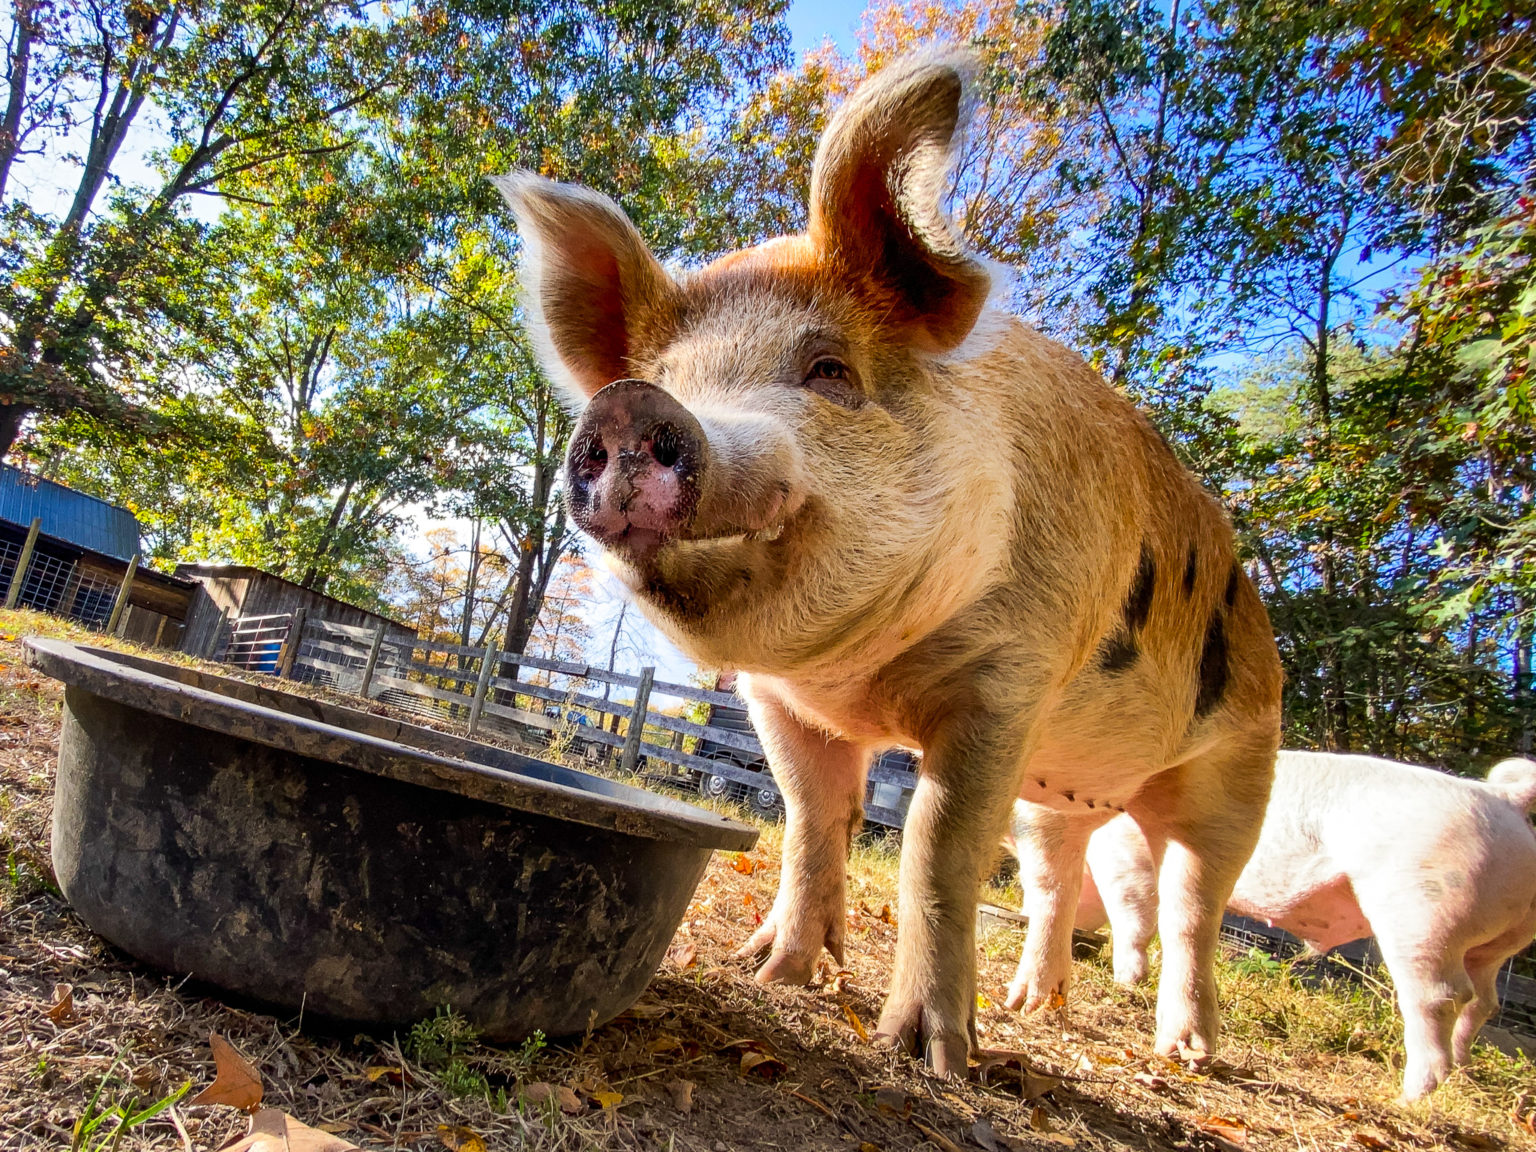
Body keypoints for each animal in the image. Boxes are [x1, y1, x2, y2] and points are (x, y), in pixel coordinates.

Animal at [495, 47, 1283, 1075]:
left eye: (830, 371)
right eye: (662, 377)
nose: (630, 406)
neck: (858, 675)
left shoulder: (1011, 679)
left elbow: (935, 848)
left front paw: (930, 1058)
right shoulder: (778, 702)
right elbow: (809, 818)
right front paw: (775, 976)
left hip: (1243, 758)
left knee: (1196, 900)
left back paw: (1184, 1052)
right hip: (1056, 794)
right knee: (1056, 876)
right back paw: (1034, 1009)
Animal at [1052, 752, 1536, 1100]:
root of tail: (1506, 798)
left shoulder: (1123, 854)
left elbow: (1133, 918)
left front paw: (1124, 984)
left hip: (1423, 913)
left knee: (1440, 996)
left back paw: (1410, 1097)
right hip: (1500, 940)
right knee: (1483, 999)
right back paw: (1461, 1073)